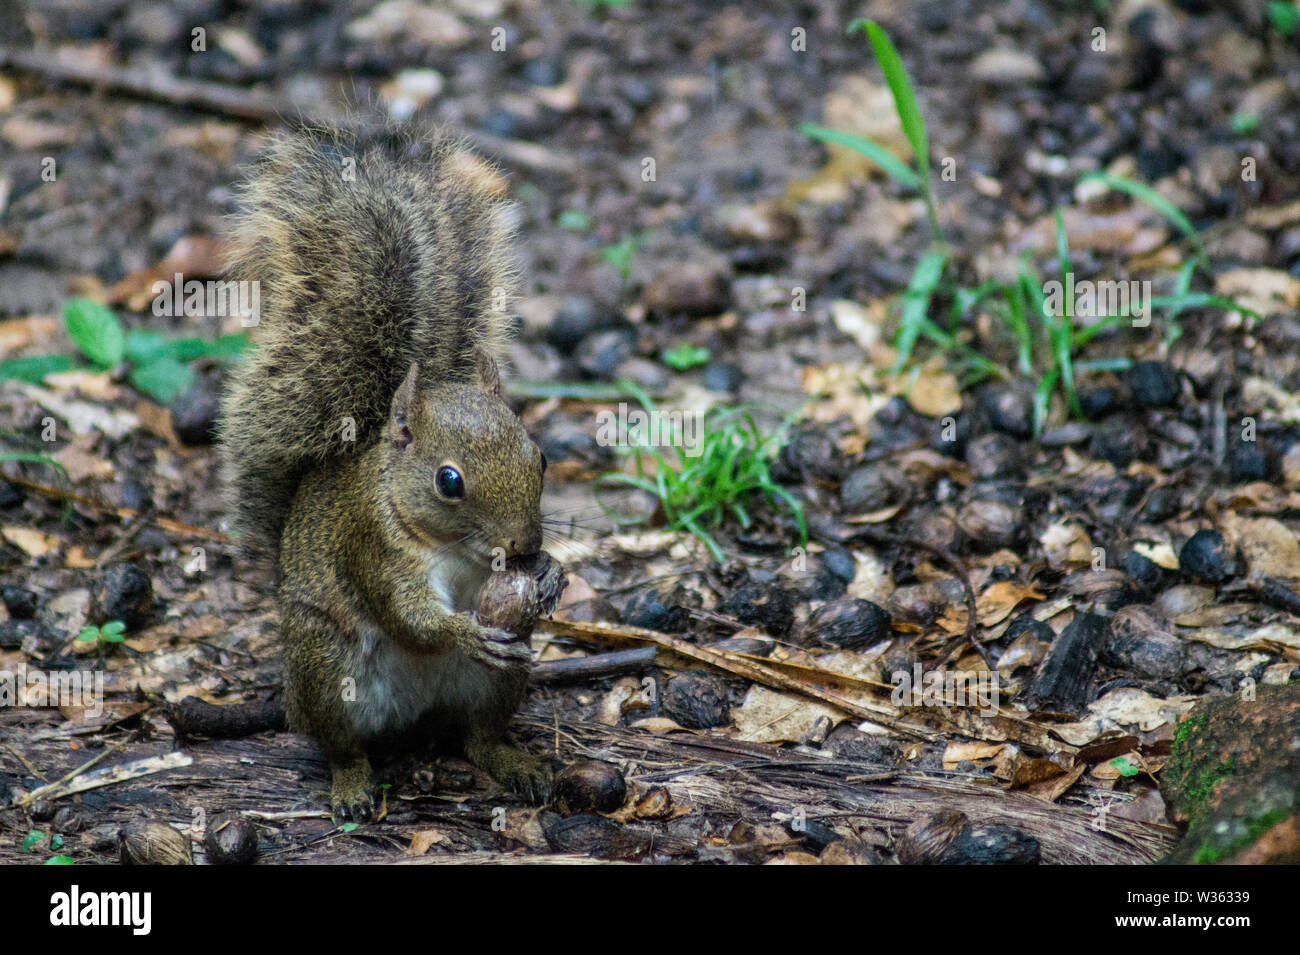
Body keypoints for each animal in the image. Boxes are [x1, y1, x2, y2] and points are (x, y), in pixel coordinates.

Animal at [216, 124, 564, 820]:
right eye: (449, 482)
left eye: (540, 457)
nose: (524, 546)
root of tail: (414, 715)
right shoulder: (371, 544)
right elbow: (410, 617)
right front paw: (461, 630)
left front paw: (552, 574)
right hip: (326, 671)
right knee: (339, 744)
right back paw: (351, 784)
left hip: (499, 684)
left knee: (478, 737)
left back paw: (514, 762)